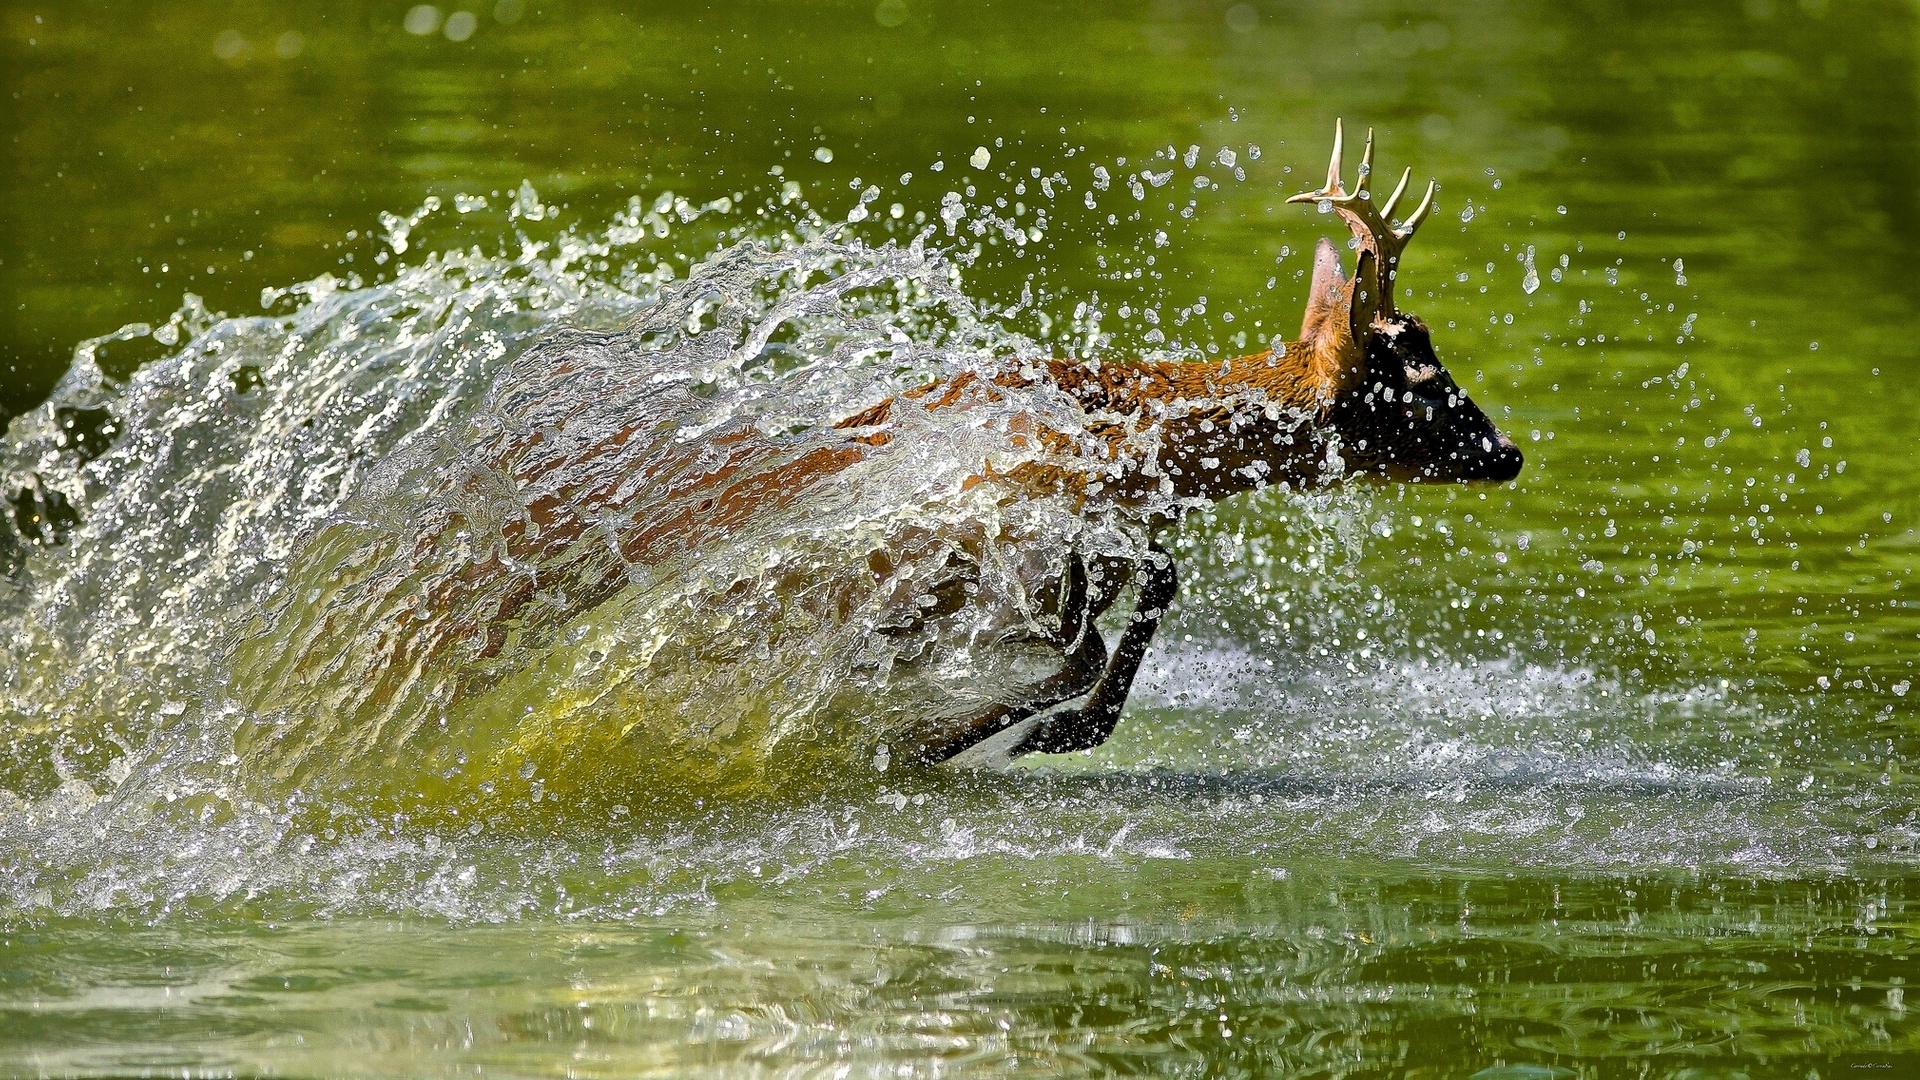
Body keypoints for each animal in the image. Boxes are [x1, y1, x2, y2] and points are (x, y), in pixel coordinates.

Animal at [231, 122, 1521, 798]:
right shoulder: (981, 527)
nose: (1509, 452)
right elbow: (1075, 639)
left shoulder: (1094, 535)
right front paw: (953, 735)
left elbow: (1135, 601)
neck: (1128, 431)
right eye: (1411, 369)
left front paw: (1025, 729)